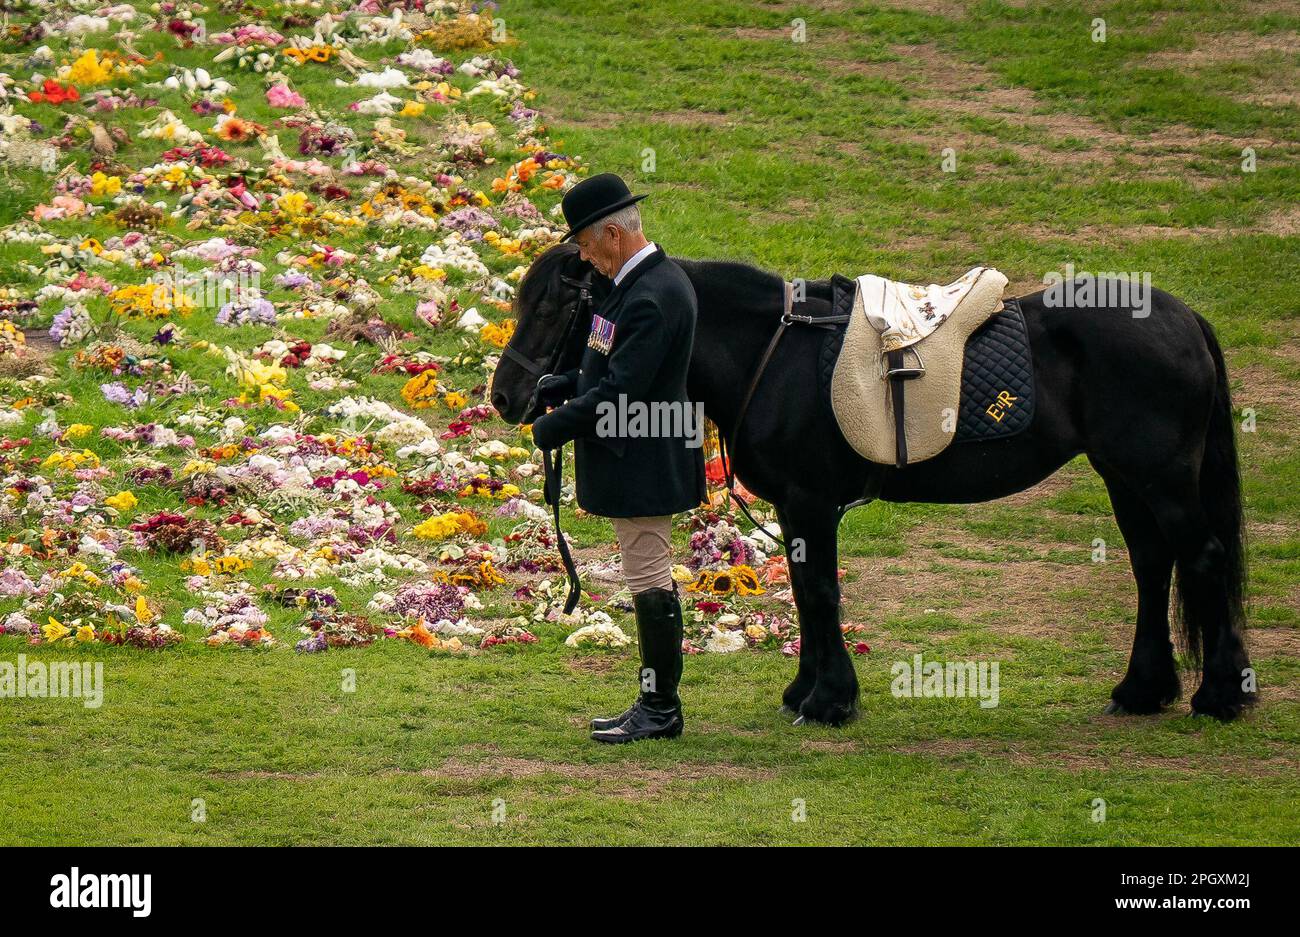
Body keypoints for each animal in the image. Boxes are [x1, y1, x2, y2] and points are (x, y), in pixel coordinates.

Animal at [490, 242, 1253, 725]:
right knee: (1154, 566)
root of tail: (1184, 319)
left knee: (1202, 558)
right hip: (1125, 477)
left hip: (1159, 478)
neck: (773, 351)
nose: (507, 397)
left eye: (553, 308)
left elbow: (820, 592)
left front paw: (828, 701)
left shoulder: (808, 501)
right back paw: (1143, 688)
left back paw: (1220, 694)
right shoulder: (797, 506)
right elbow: (807, 592)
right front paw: (806, 691)